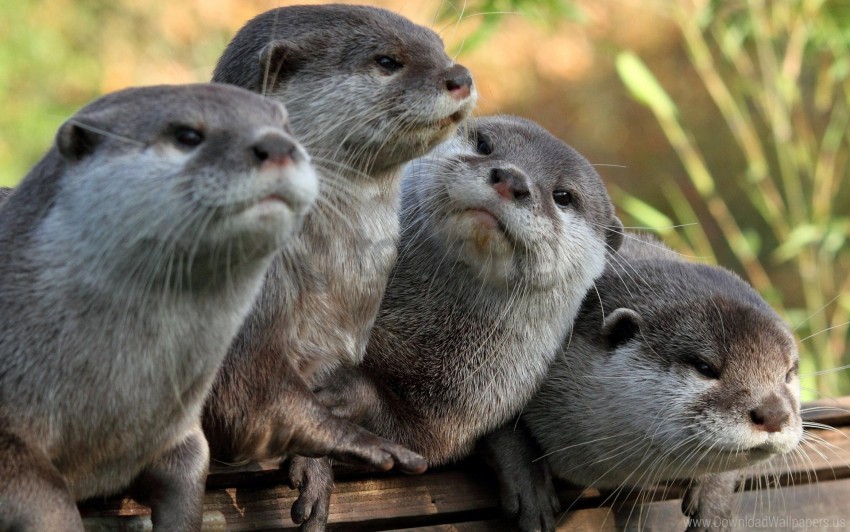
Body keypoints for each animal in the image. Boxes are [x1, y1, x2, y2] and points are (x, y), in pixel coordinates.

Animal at [0, 84, 318, 530]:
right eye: (187, 135)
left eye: (286, 126)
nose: (278, 145)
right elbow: (46, 500)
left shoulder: (178, 429)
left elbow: (188, 470)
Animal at [202, 3, 477, 504]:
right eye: (387, 61)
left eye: (440, 47)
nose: (460, 75)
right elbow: (243, 398)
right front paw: (367, 444)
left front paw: (314, 468)